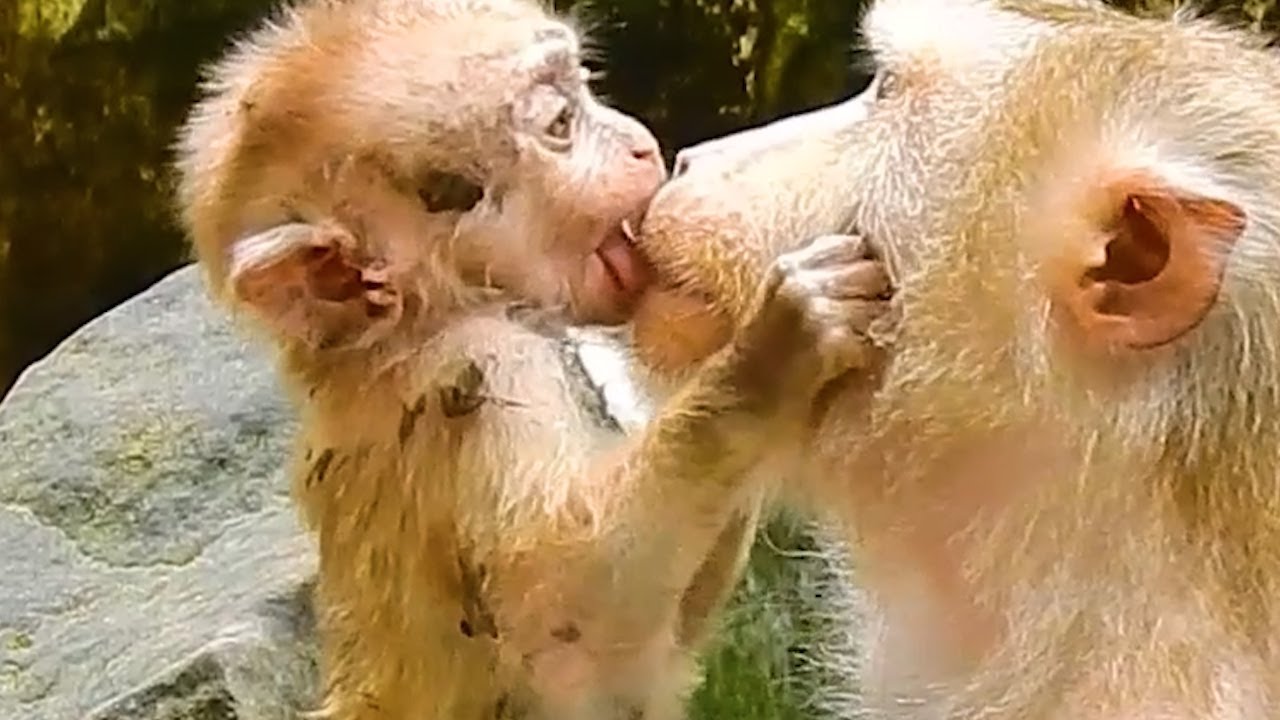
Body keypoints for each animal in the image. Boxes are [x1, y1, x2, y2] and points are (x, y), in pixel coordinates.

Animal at [172, 1, 895, 718]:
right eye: (560, 125)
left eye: (584, 90)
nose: (642, 142)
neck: (418, 326)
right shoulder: (483, 369)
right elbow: (566, 619)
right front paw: (771, 351)